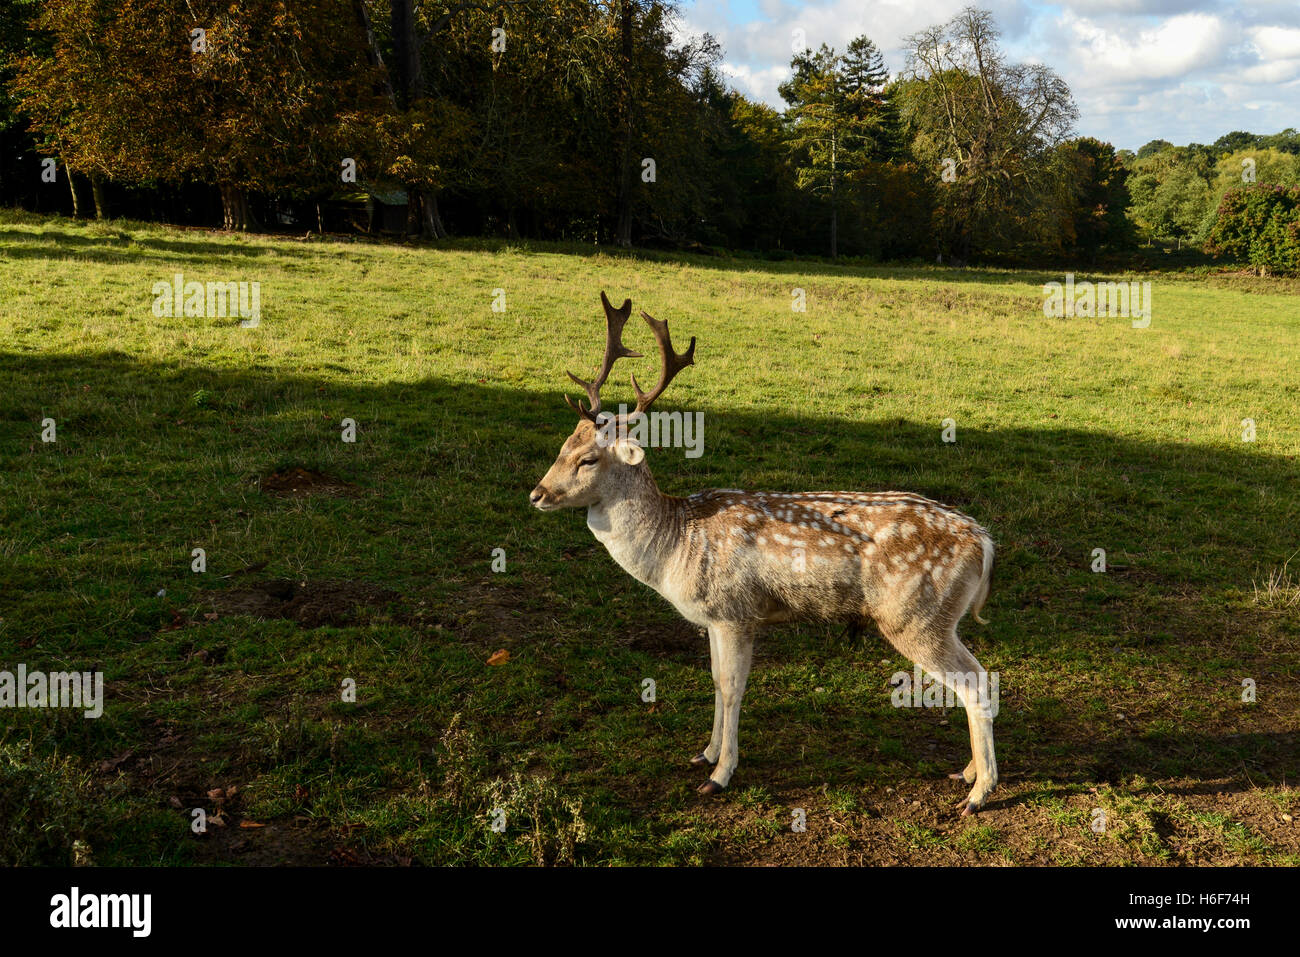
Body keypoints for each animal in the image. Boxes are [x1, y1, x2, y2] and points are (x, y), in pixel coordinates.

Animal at [530, 292, 999, 815]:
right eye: (563, 445)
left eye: (588, 458)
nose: (537, 494)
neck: (675, 548)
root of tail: (984, 542)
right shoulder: (714, 618)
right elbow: (716, 682)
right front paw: (704, 752)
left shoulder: (735, 611)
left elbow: (734, 689)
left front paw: (719, 775)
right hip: (938, 618)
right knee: (979, 678)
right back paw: (967, 773)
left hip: (914, 617)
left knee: (976, 682)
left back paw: (979, 793)